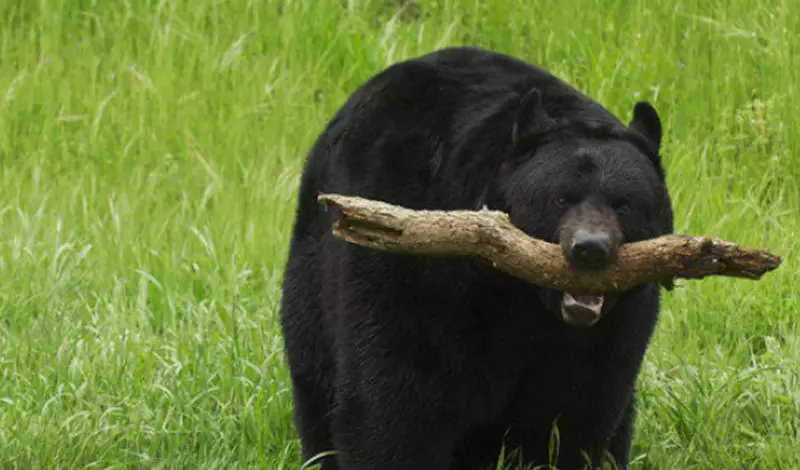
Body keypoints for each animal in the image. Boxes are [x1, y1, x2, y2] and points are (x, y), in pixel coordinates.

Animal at [278, 45, 672, 470]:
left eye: (624, 204)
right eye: (561, 198)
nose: (590, 248)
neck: (518, 296)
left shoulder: (615, 328)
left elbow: (580, 414)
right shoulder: (417, 271)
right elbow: (397, 399)